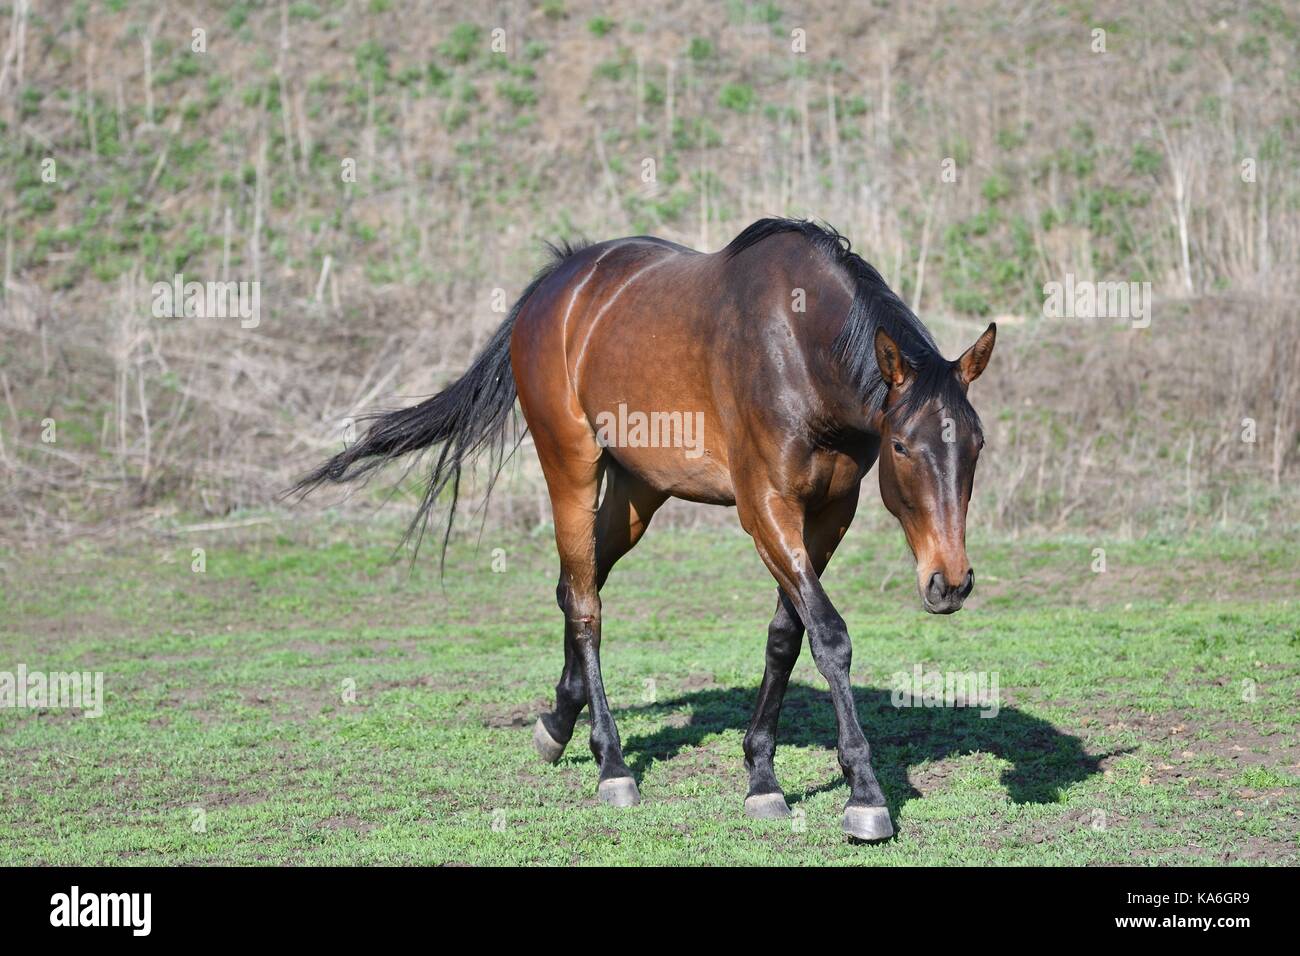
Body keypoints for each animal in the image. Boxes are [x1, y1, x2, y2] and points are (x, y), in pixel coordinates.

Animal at [292, 217, 996, 842]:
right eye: (902, 445)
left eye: (978, 443)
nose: (950, 582)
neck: (801, 350)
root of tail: (560, 282)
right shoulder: (766, 507)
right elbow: (829, 636)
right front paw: (865, 796)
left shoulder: (829, 513)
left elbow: (786, 637)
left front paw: (761, 776)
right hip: (571, 469)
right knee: (585, 604)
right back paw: (611, 765)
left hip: (638, 491)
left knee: (575, 584)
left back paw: (558, 721)